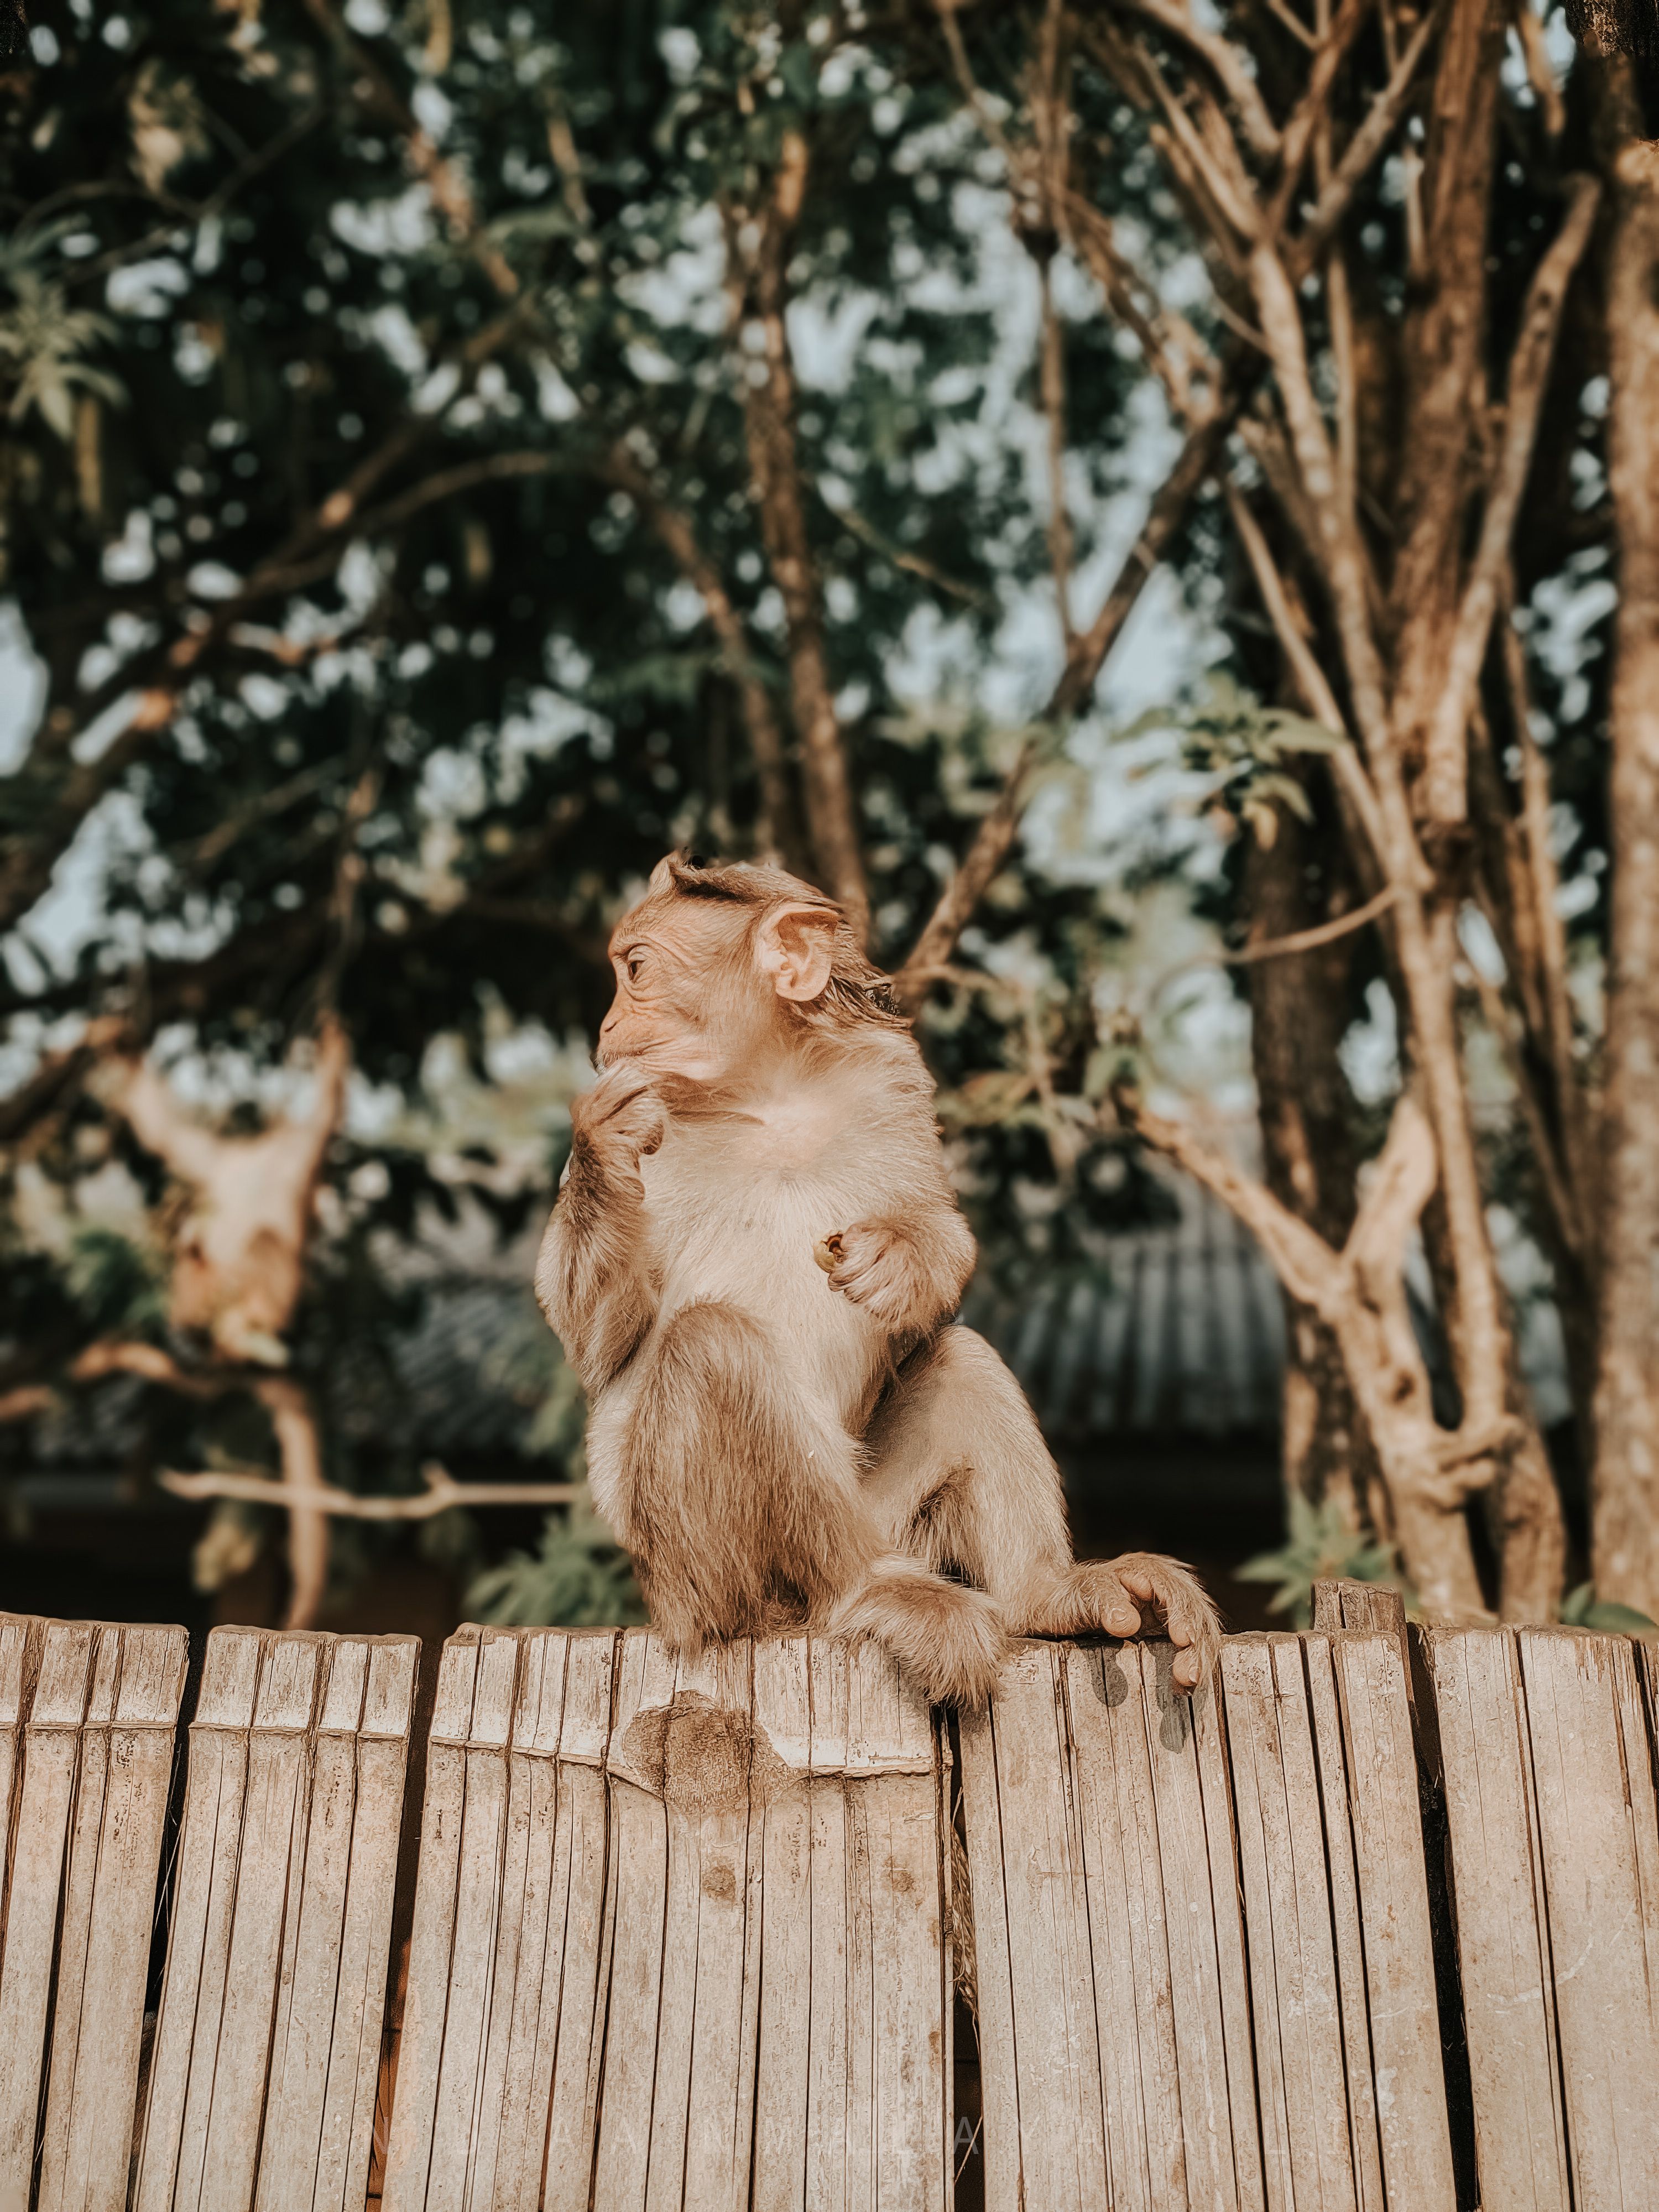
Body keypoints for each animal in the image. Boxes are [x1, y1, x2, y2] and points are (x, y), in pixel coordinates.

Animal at [535, 853, 1220, 1707]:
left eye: (636, 970)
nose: (606, 1030)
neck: (765, 1097)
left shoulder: (890, 1080)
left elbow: (932, 1222)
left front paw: (900, 1261)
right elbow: (599, 1338)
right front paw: (602, 1137)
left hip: (888, 1513)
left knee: (961, 1358)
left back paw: (1050, 1595)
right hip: (698, 1577)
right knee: (715, 1344)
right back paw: (869, 1589)